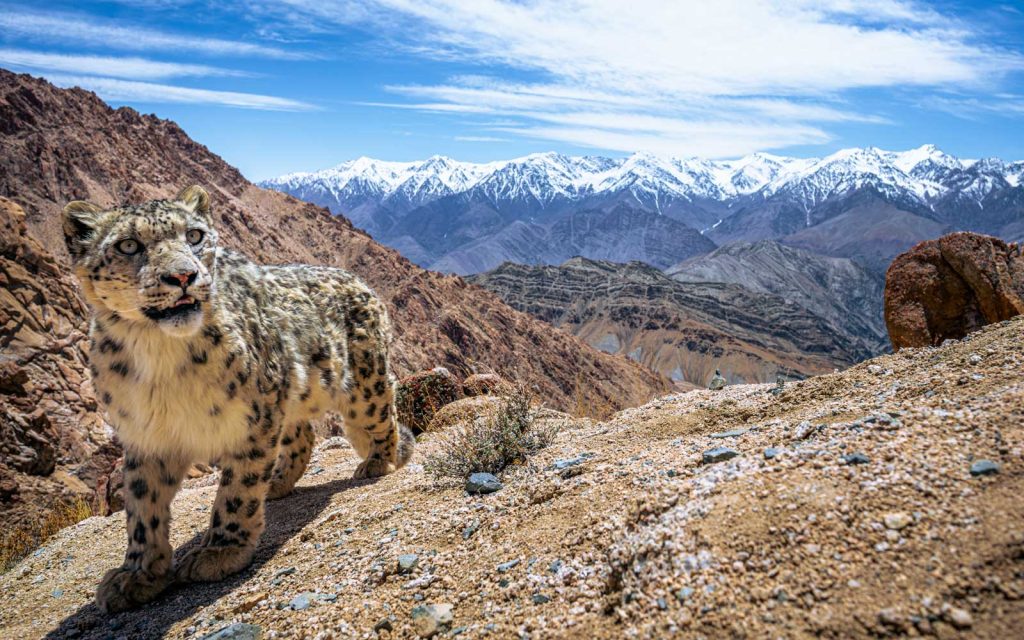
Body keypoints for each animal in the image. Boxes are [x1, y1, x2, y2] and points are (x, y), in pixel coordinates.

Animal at [61, 185, 414, 613]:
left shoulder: (253, 416)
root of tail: (363, 284)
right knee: (302, 436)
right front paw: (137, 574)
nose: (183, 275)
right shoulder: (146, 435)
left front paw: (220, 551)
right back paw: (278, 482)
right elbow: (142, 508)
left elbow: (238, 487)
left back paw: (377, 462)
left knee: (381, 413)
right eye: (128, 245)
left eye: (194, 235)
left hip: (362, 384)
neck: (158, 353)